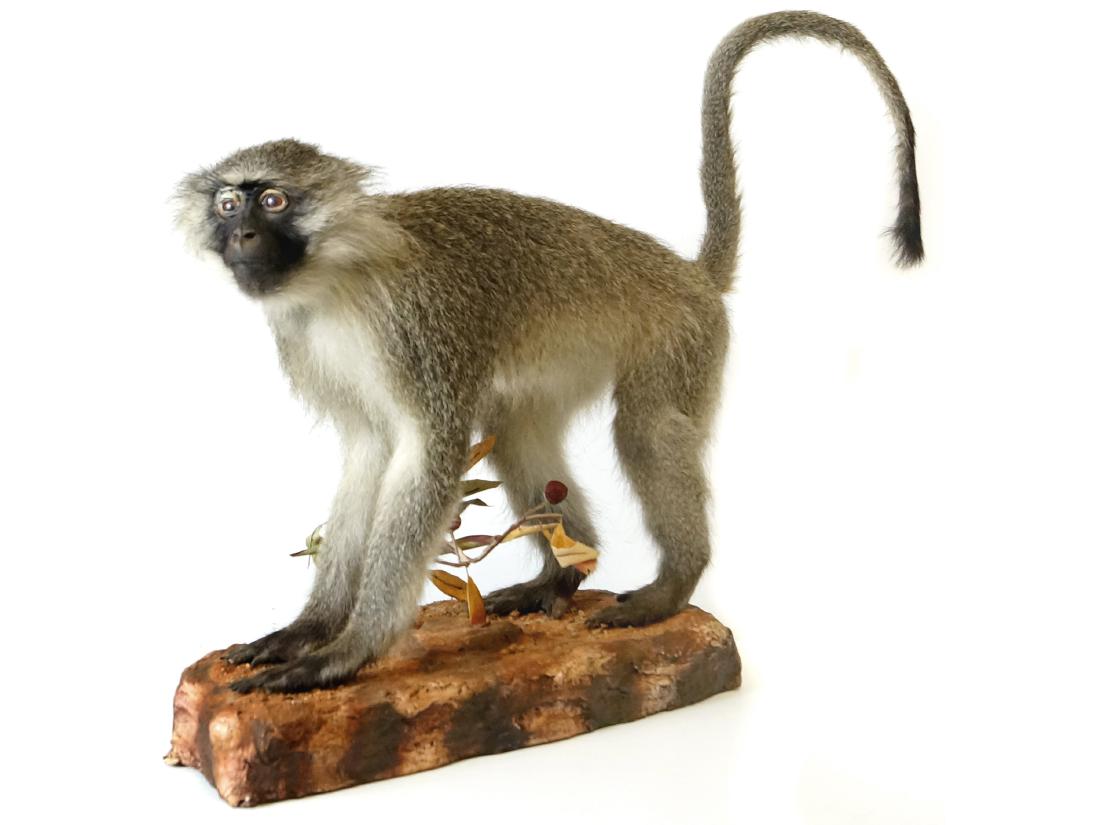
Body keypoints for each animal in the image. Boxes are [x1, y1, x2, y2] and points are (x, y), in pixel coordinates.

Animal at [175, 11, 922, 693]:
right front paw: (310, 627)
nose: (241, 235)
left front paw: (349, 651)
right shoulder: (306, 339)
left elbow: (427, 453)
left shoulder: (417, 328)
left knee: (646, 429)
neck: (337, 279)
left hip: (683, 335)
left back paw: (673, 584)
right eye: (227, 204)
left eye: (273, 201)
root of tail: (687, 272)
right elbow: (367, 452)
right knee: (517, 429)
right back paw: (560, 578)